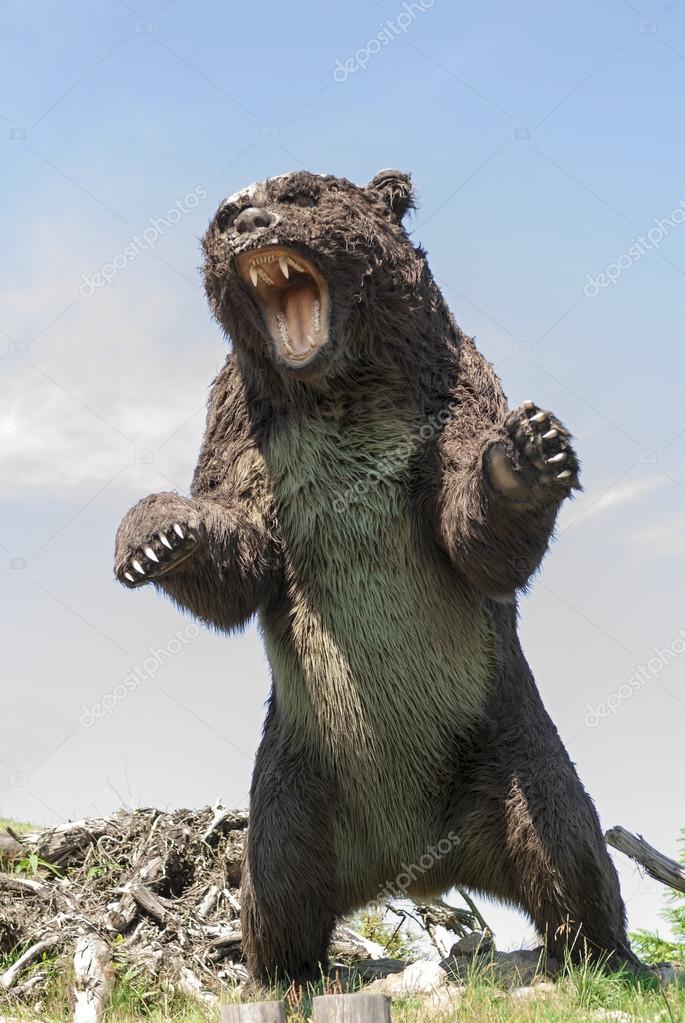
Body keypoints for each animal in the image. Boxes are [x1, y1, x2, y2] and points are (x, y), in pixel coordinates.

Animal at [114, 168, 640, 983]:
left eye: (299, 194)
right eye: (226, 212)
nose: (245, 218)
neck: (333, 388)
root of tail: (415, 864)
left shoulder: (447, 388)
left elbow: (471, 536)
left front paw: (528, 452)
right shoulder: (246, 422)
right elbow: (240, 550)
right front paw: (158, 535)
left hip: (503, 741)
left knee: (566, 844)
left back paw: (604, 957)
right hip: (303, 771)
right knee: (276, 877)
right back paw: (287, 970)